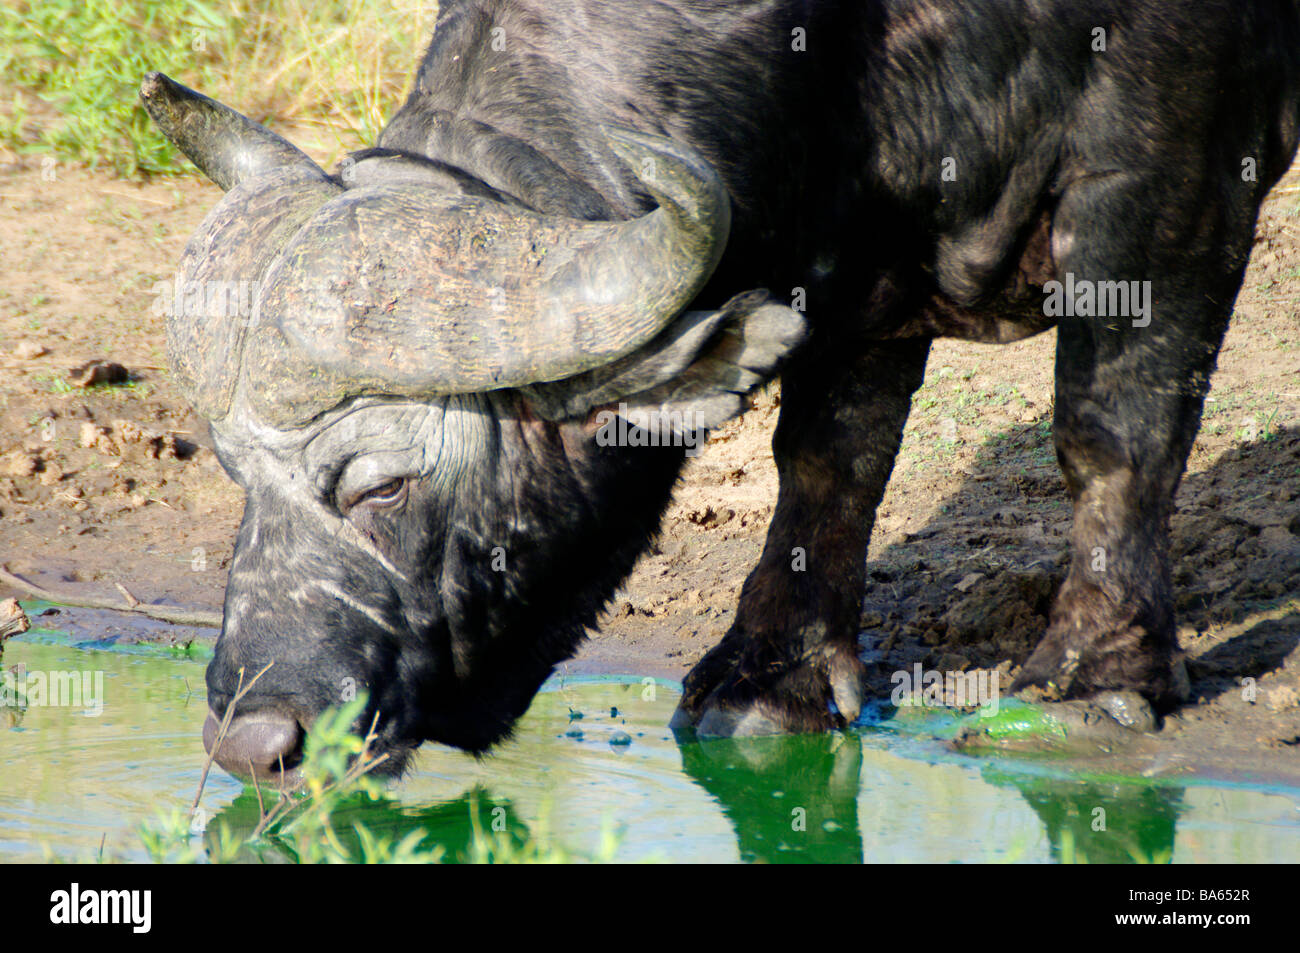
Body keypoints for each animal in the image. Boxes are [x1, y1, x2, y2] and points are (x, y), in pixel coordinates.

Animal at [140, 0, 1300, 781]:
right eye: (234, 476)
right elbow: (832, 456)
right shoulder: (861, 243)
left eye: (380, 485)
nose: (253, 741)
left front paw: (1092, 677)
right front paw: (769, 675)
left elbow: (1112, 427)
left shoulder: (1170, 165)